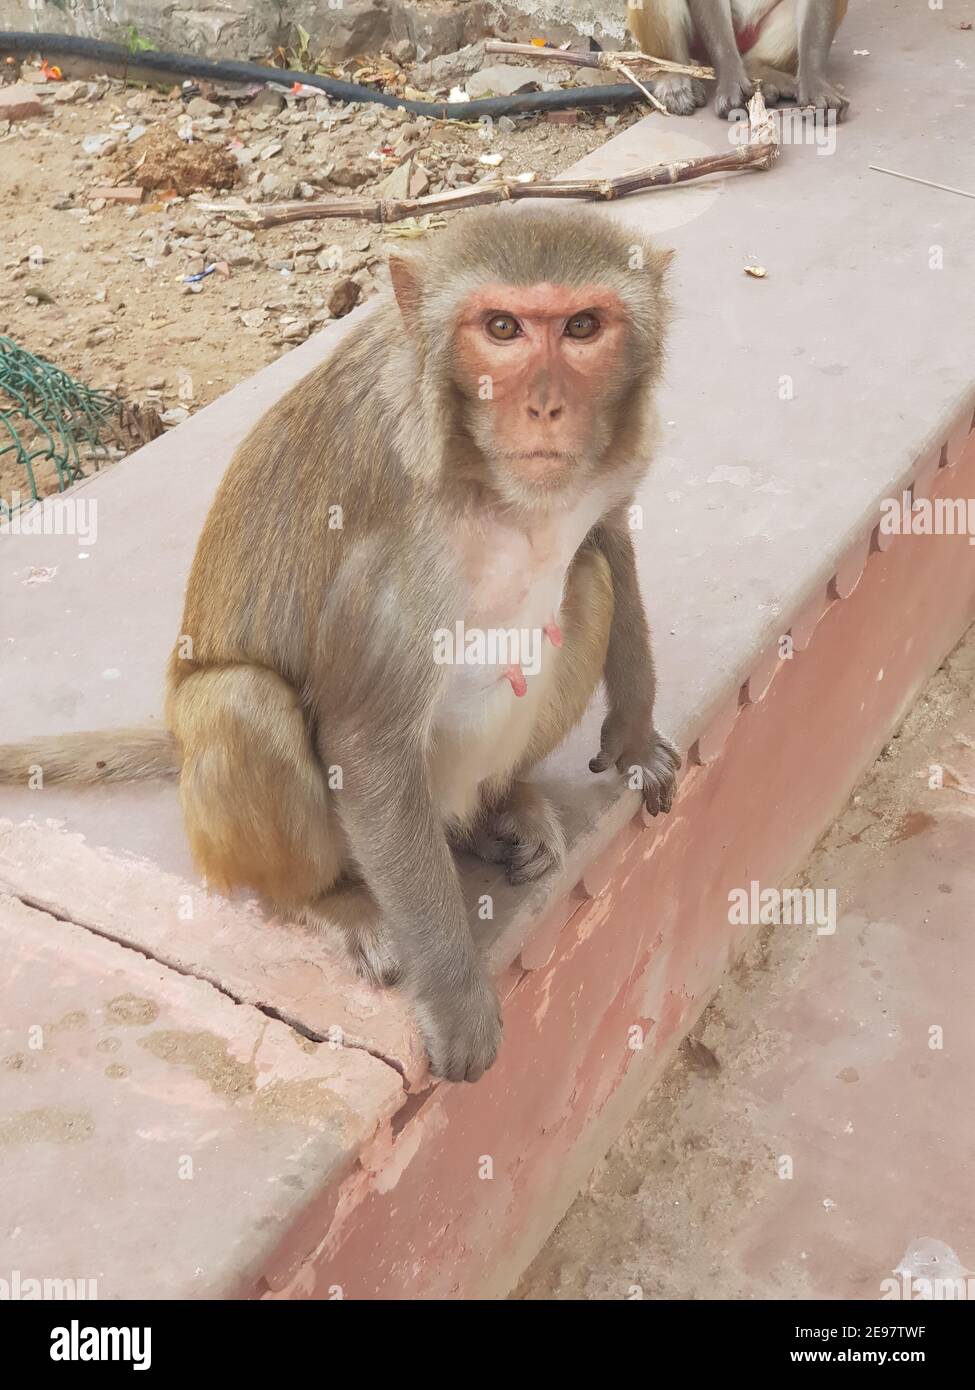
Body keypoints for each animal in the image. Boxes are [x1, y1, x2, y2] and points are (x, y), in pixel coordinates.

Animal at [0, 205, 680, 1084]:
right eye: (500, 328)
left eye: (582, 326)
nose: (545, 407)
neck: (493, 485)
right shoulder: (393, 553)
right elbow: (366, 742)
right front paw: (457, 1000)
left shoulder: (607, 470)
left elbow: (605, 540)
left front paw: (634, 740)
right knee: (244, 702)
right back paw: (326, 900)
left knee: (587, 579)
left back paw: (500, 808)